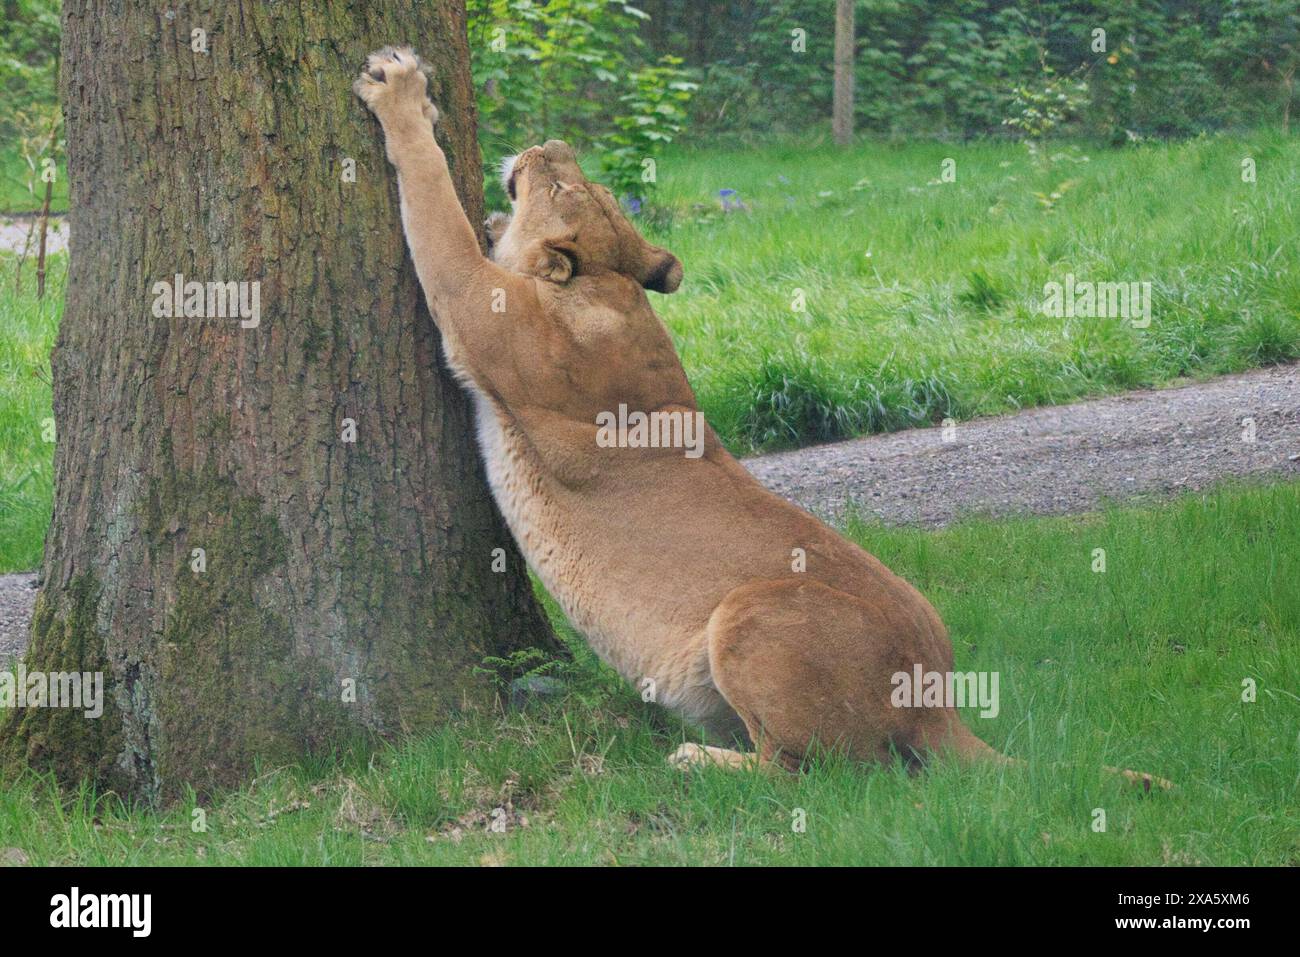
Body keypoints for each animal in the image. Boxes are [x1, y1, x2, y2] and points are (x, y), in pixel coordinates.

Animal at [353, 47, 1170, 790]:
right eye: (582, 180)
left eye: (559, 182)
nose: (547, 143)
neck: (611, 284)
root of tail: (937, 703)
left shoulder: (474, 305)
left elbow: (435, 207)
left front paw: (399, 89)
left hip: (750, 613)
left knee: (814, 773)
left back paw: (697, 760)